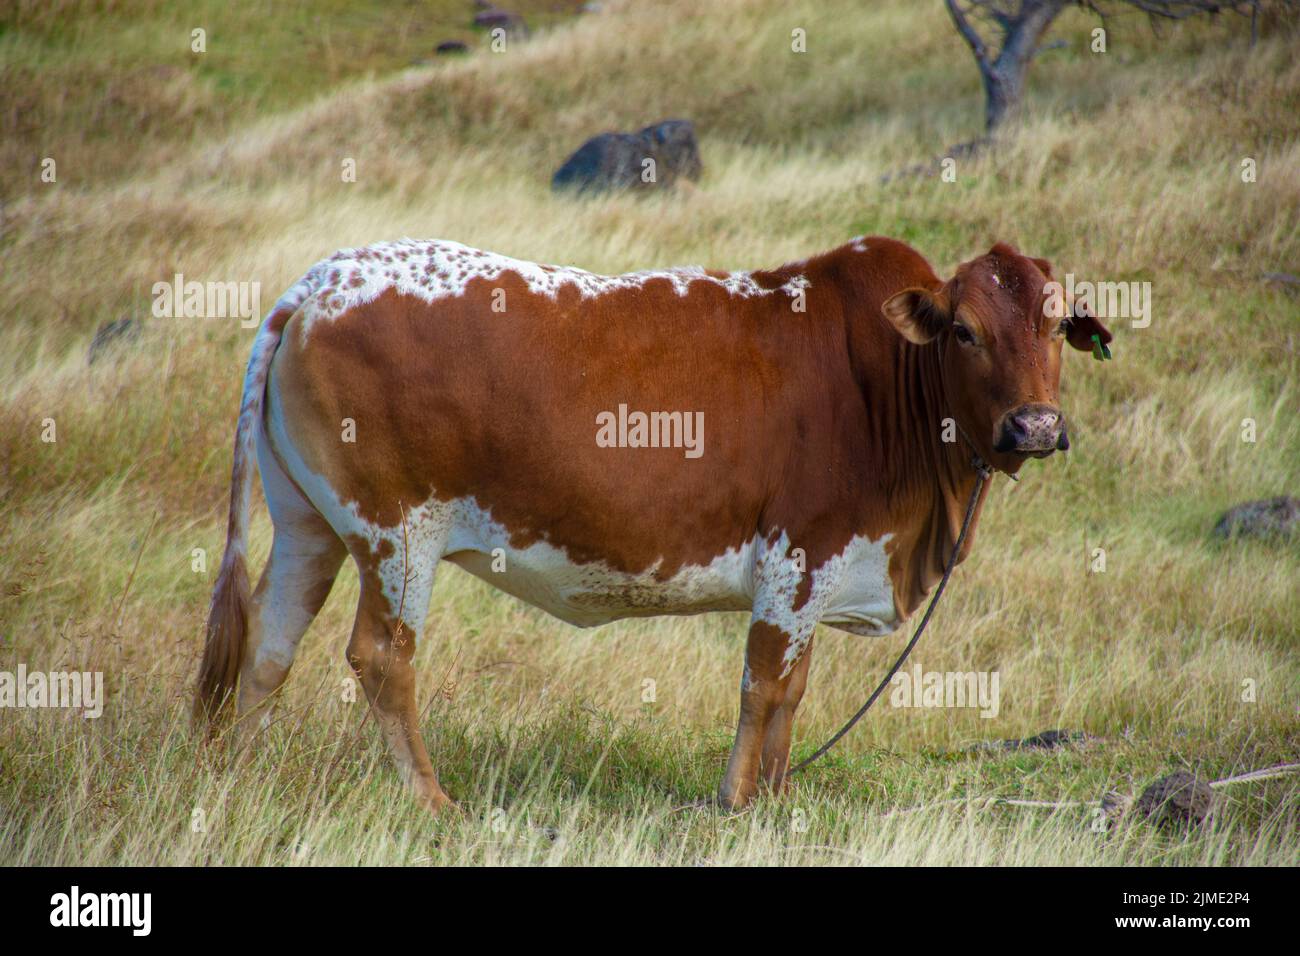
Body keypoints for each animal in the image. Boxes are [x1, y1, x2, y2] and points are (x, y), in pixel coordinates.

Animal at [195, 235, 1111, 813]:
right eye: (965, 330)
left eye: (1057, 326)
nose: (1035, 425)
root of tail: (322, 280)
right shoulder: (797, 557)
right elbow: (765, 684)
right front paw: (737, 801)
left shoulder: (822, 572)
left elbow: (794, 691)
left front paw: (777, 797)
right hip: (397, 534)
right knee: (381, 658)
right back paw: (432, 801)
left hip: (310, 524)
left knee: (270, 640)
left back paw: (243, 775)